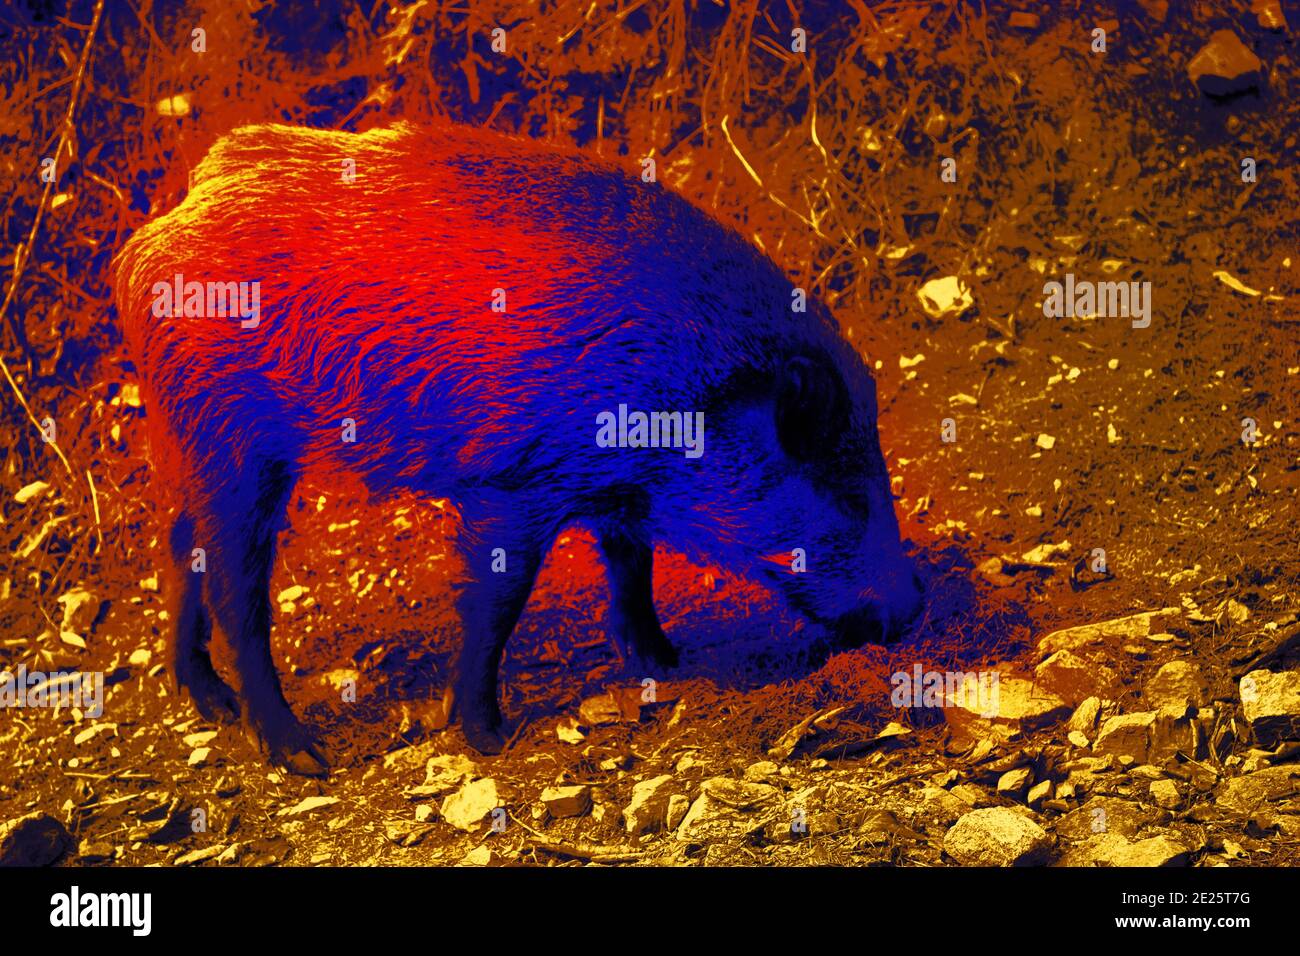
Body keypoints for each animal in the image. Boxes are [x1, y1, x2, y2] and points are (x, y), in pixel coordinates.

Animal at [113, 122, 924, 775]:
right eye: (842, 484)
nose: (913, 609)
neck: (685, 387)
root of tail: (155, 231)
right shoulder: (513, 484)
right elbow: (498, 602)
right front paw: (488, 738)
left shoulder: (613, 489)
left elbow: (631, 567)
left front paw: (666, 662)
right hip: (232, 437)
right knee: (235, 591)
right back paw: (304, 756)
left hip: (200, 440)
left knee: (179, 546)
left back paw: (209, 703)